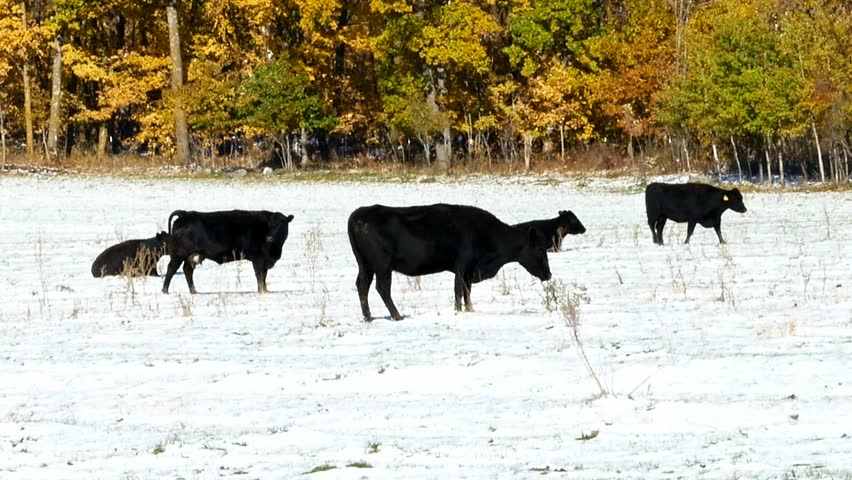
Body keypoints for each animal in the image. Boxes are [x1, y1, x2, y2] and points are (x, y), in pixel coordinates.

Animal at [161, 210, 294, 294]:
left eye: (281, 224)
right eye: (270, 225)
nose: (269, 237)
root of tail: (184, 214)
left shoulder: (265, 260)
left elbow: (264, 276)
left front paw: (266, 290)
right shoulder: (258, 258)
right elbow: (260, 275)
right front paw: (262, 291)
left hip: (192, 255)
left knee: (187, 270)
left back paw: (194, 291)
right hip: (178, 254)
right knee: (171, 269)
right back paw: (165, 291)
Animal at [348, 203, 552, 321]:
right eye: (540, 250)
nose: (548, 274)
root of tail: (359, 214)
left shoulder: (468, 271)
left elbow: (467, 292)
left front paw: (469, 310)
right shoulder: (462, 267)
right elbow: (459, 290)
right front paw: (459, 311)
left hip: (365, 266)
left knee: (362, 285)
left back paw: (368, 317)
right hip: (383, 266)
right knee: (382, 288)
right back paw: (397, 316)